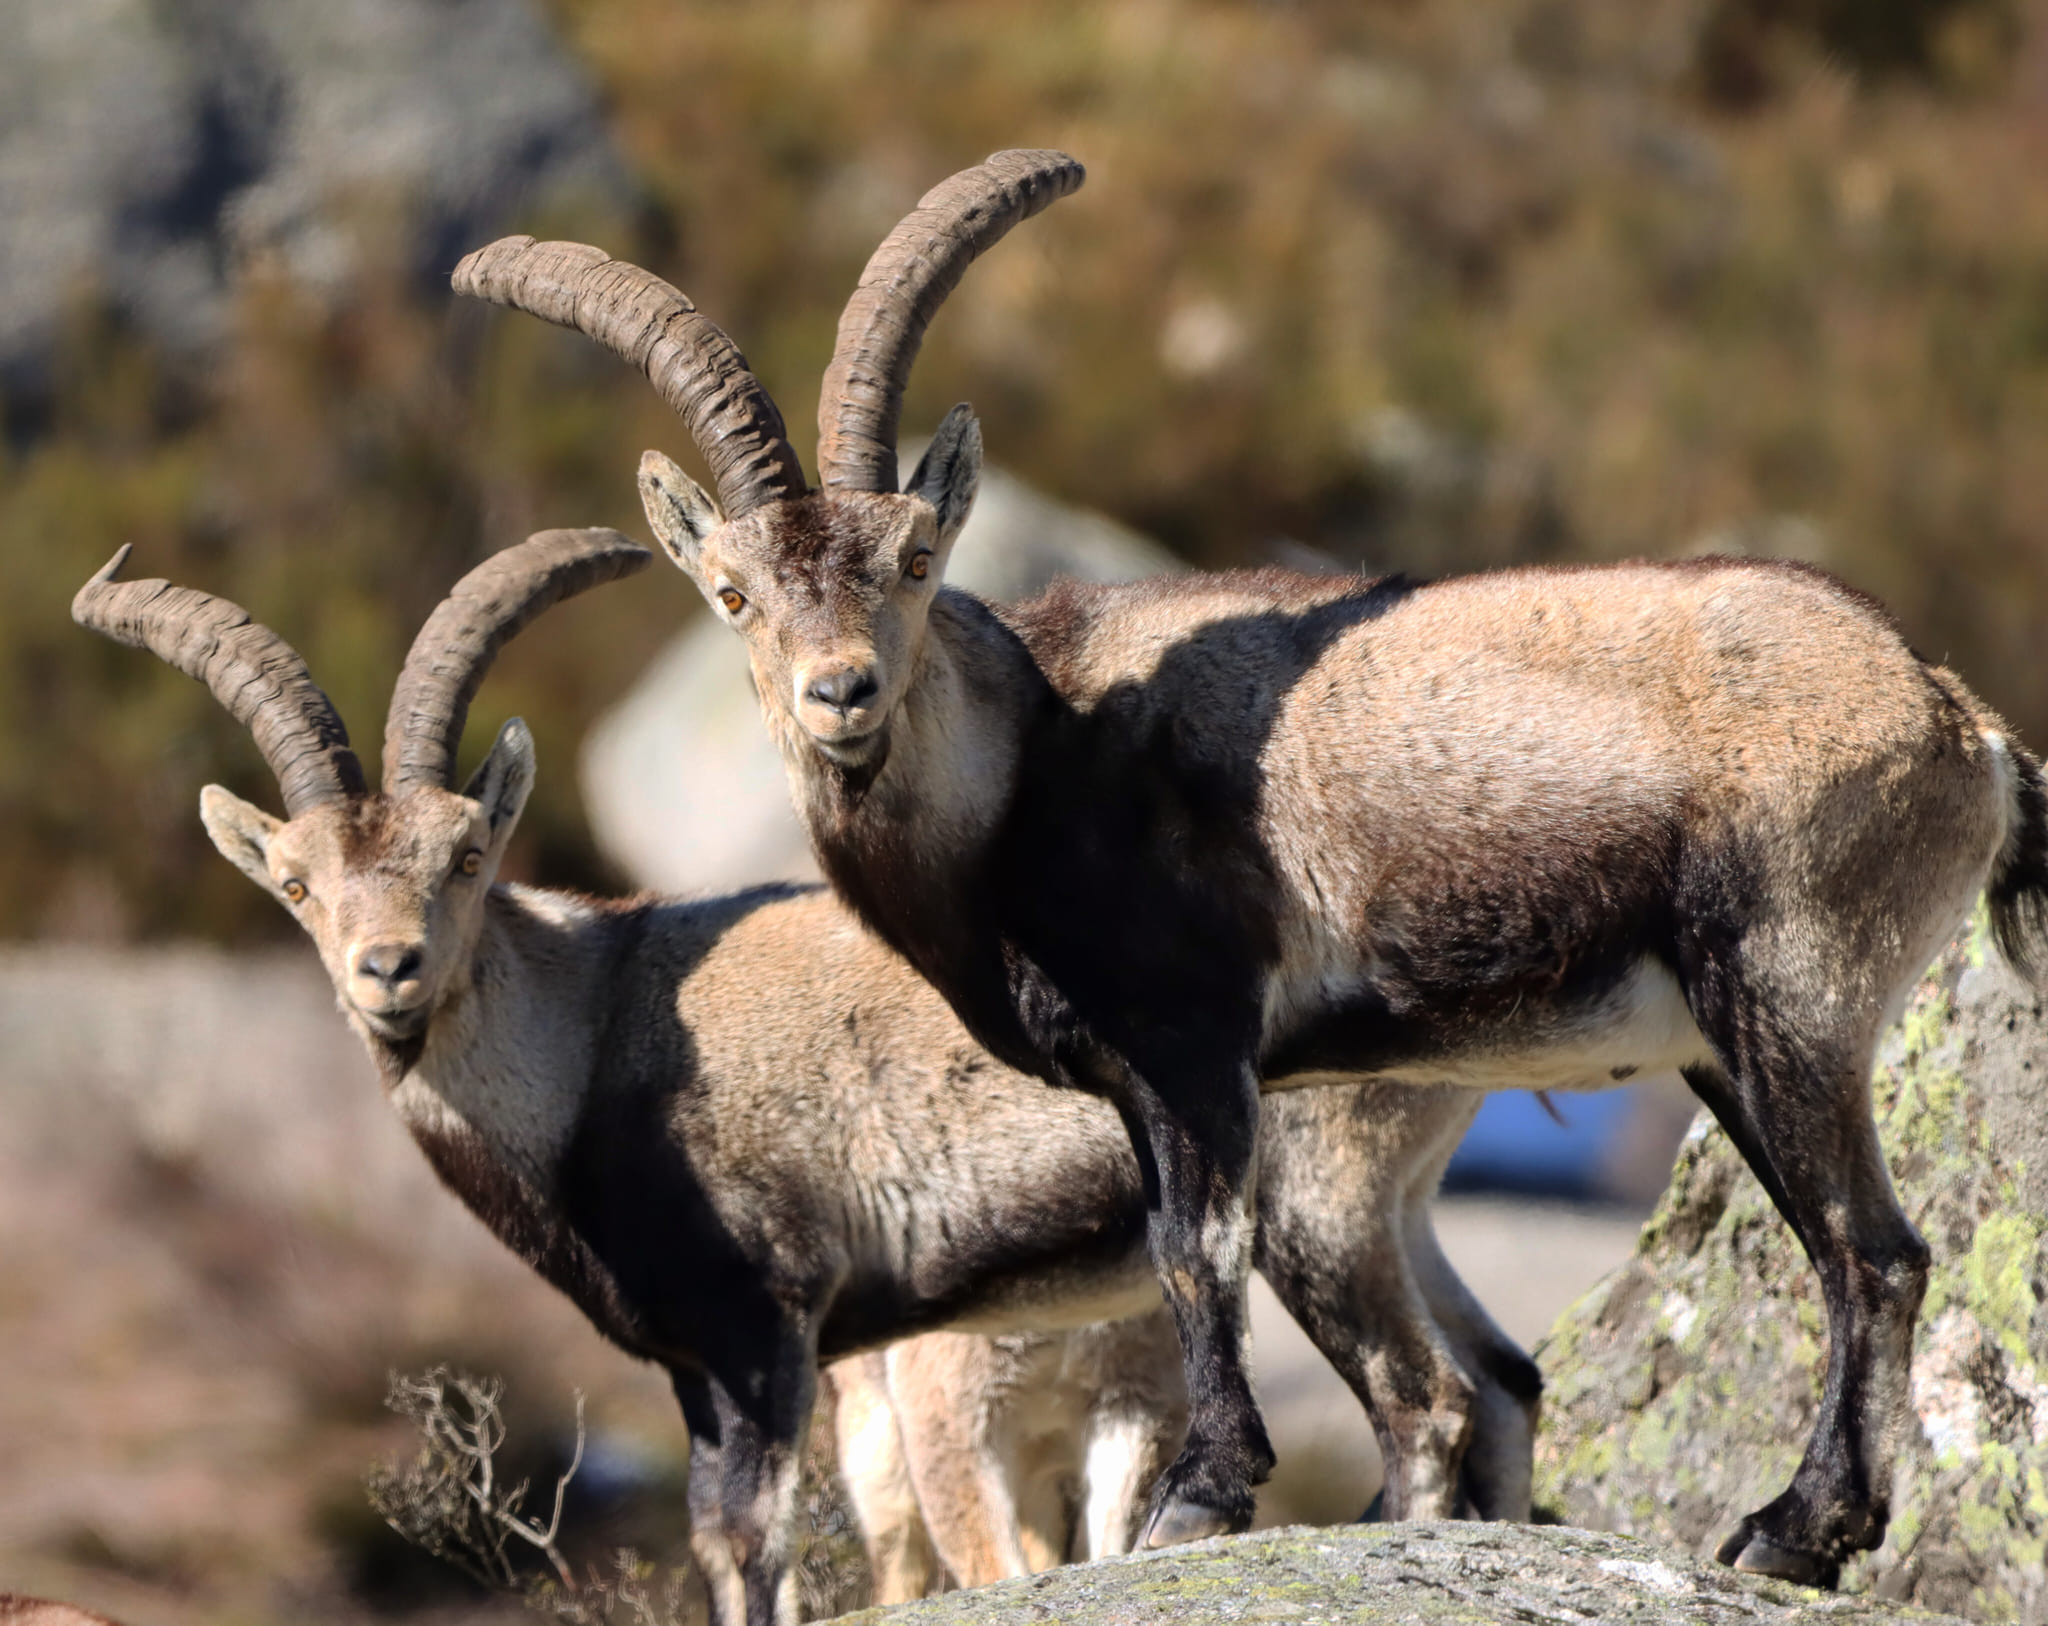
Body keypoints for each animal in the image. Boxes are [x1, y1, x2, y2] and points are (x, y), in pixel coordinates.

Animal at [75, 534, 1533, 1626]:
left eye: (466, 854)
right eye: (297, 884)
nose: (389, 971)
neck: (591, 1038)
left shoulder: (768, 1320)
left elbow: (753, 1542)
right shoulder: (695, 1364)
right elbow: (718, 1539)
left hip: (1308, 1200)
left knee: (1427, 1398)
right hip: (1387, 1200)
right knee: (1504, 1378)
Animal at [452, 148, 2048, 1586]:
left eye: (913, 554)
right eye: (733, 593)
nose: (841, 694)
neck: (1030, 765)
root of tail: (1954, 717)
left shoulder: (1194, 1041)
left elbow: (1192, 1252)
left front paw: (1203, 1498)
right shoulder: (1147, 1077)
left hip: (1790, 993)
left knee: (1872, 1253)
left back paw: (1796, 1531)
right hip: (1727, 1045)